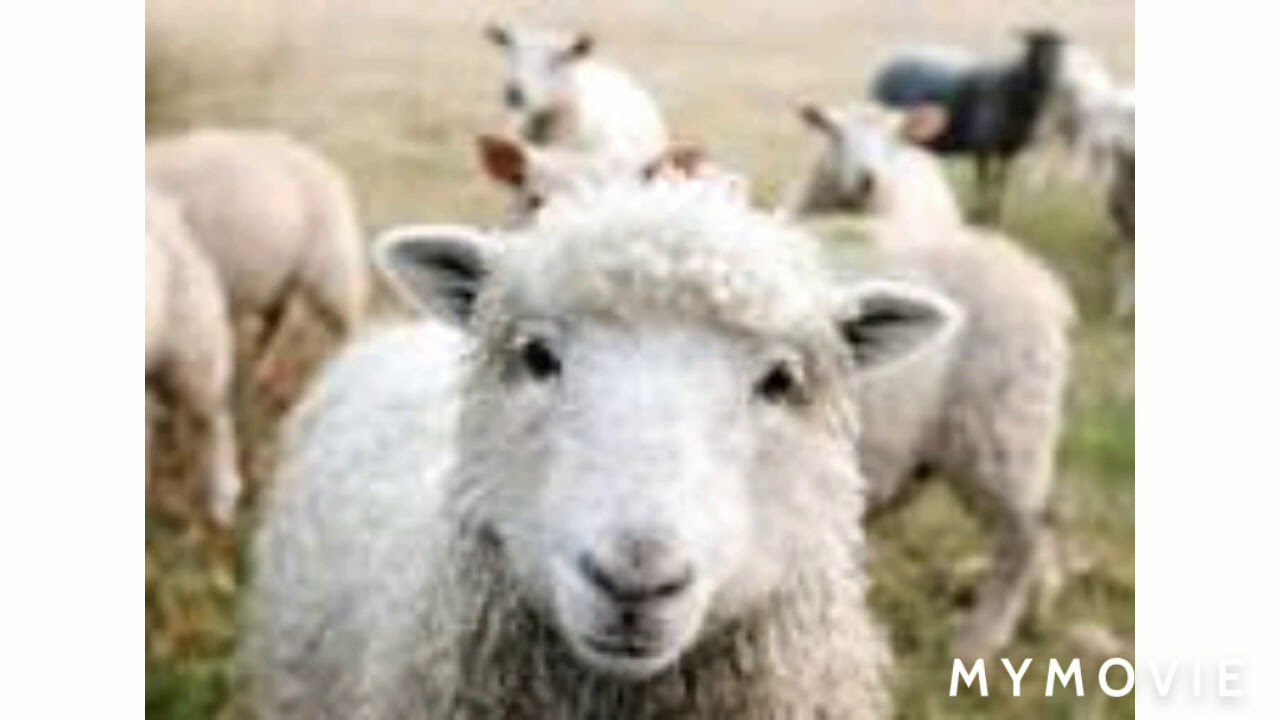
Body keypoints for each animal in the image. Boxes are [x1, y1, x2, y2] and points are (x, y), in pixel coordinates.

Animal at [145, 128, 369, 379]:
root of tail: (327, 167)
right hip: (278, 274)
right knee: (275, 317)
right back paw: (259, 364)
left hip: (330, 264)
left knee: (348, 319)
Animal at [872, 28, 1066, 221]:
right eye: (1033, 47)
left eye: (1058, 51)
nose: (1049, 72)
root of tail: (884, 70)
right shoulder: (983, 145)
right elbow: (984, 182)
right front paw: (979, 214)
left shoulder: (1009, 150)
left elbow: (1000, 182)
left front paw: (995, 215)